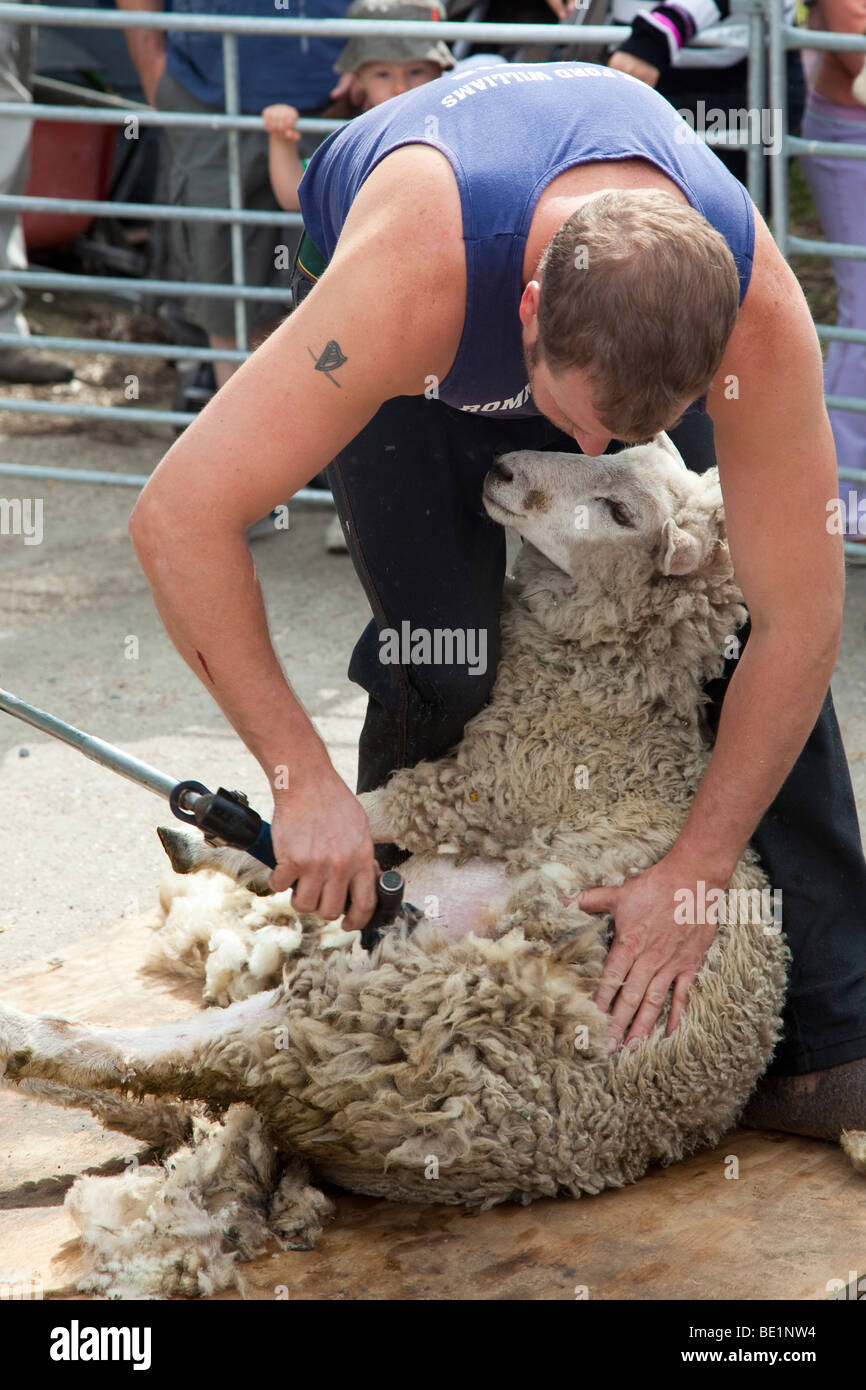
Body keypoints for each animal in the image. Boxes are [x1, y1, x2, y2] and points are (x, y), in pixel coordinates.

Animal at [0, 435, 801, 1297]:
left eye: (623, 512)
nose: (503, 469)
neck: (614, 705)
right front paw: (235, 845)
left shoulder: (488, 787)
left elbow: (374, 808)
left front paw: (237, 838)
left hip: (376, 1007)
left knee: (153, 1055)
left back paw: (27, 1027)